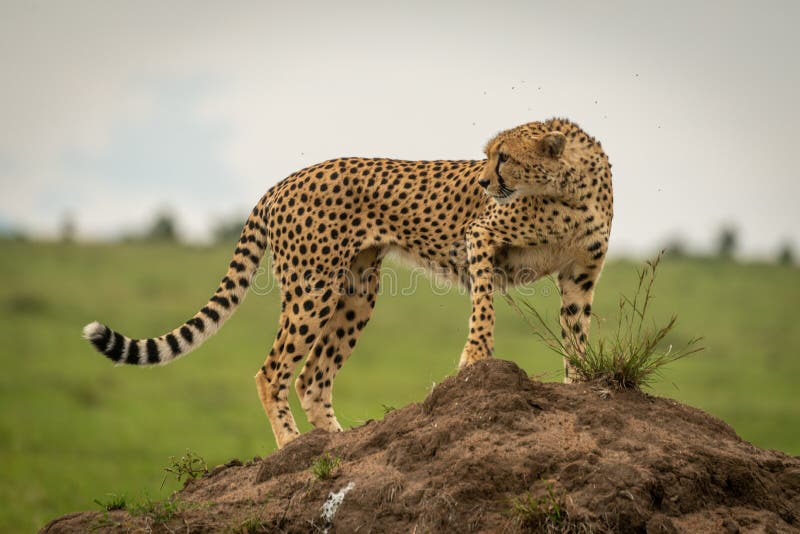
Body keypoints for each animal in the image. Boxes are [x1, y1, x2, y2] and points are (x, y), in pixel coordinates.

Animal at [83, 117, 613, 449]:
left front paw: (580, 387)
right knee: (272, 373)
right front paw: (475, 359)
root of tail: (283, 181)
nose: (484, 182)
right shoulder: (480, 237)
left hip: (356, 292)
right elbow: (484, 307)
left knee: (312, 376)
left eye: (504, 157)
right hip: (312, 288)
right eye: (488, 156)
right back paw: (291, 447)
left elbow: (577, 338)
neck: (570, 189)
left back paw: (336, 442)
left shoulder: (579, 278)